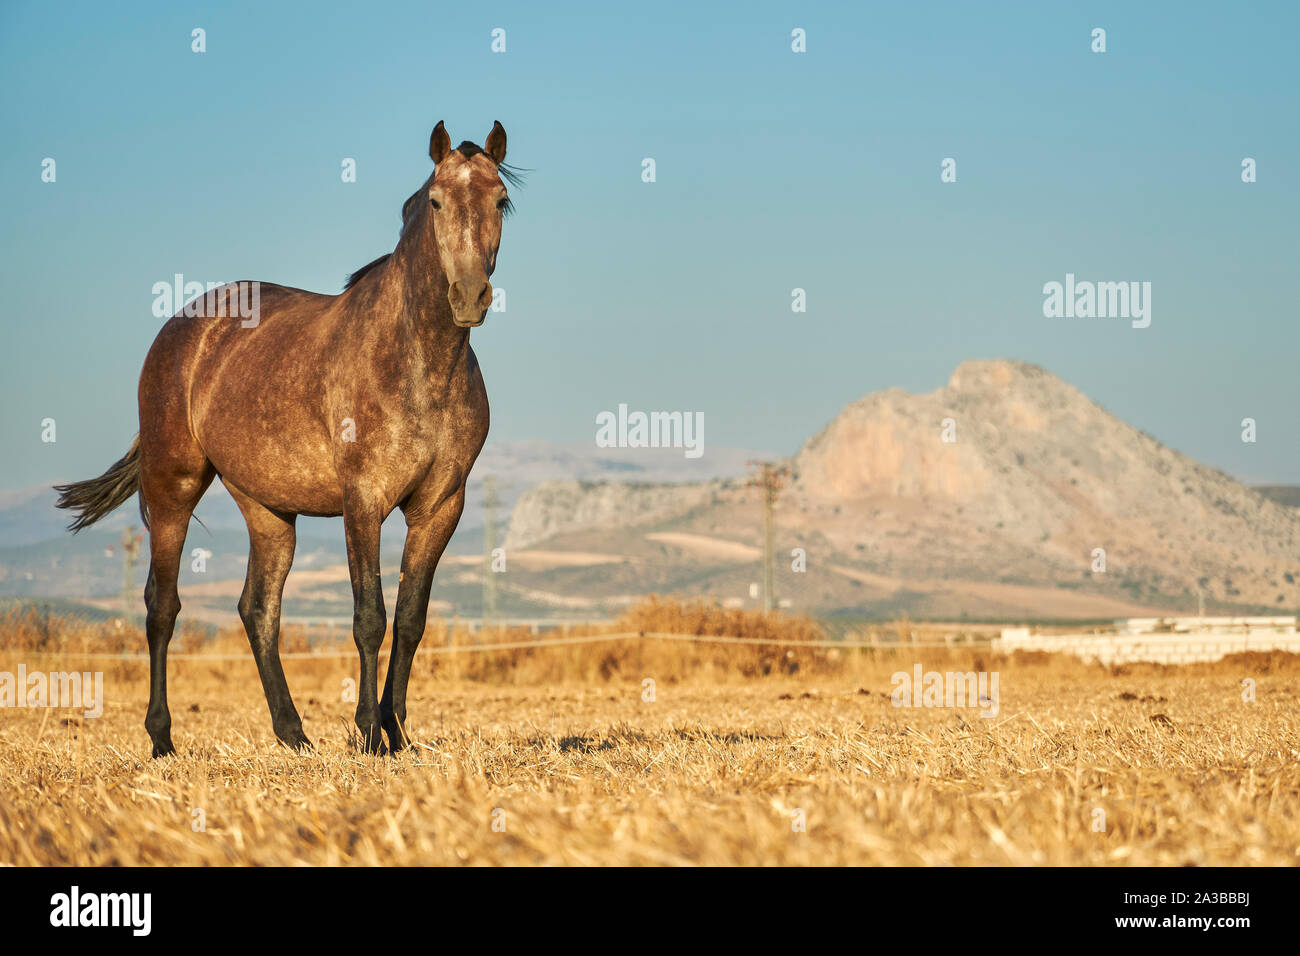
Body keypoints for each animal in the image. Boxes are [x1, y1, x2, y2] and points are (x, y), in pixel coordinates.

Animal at [55, 120, 517, 757]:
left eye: (501, 201)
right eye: (436, 201)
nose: (470, 296)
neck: (417, 364)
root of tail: (183, 327)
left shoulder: (440, 506)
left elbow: (411, 618)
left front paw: (398, 732)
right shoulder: (363, 501)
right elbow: (369, 617)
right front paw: (369, 734)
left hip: (268, 509)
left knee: (257, 609)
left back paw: (293, 733)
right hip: (175, 485)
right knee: (161, 607)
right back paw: (162, 738)